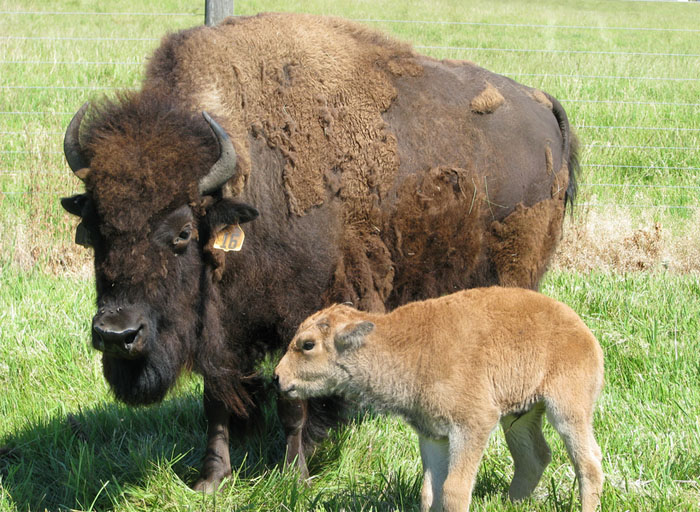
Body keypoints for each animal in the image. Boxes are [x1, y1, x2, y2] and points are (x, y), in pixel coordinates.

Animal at [60, 13, 578, 491]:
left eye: (184, 231)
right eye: (94, 229)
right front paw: (211, 478)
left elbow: (292, 400)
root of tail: (541, 103)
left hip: (516, 272)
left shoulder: (299, 315)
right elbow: (217, 401)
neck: (246, 180)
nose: (116, 334)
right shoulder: (226, 333)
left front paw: (293, 475)